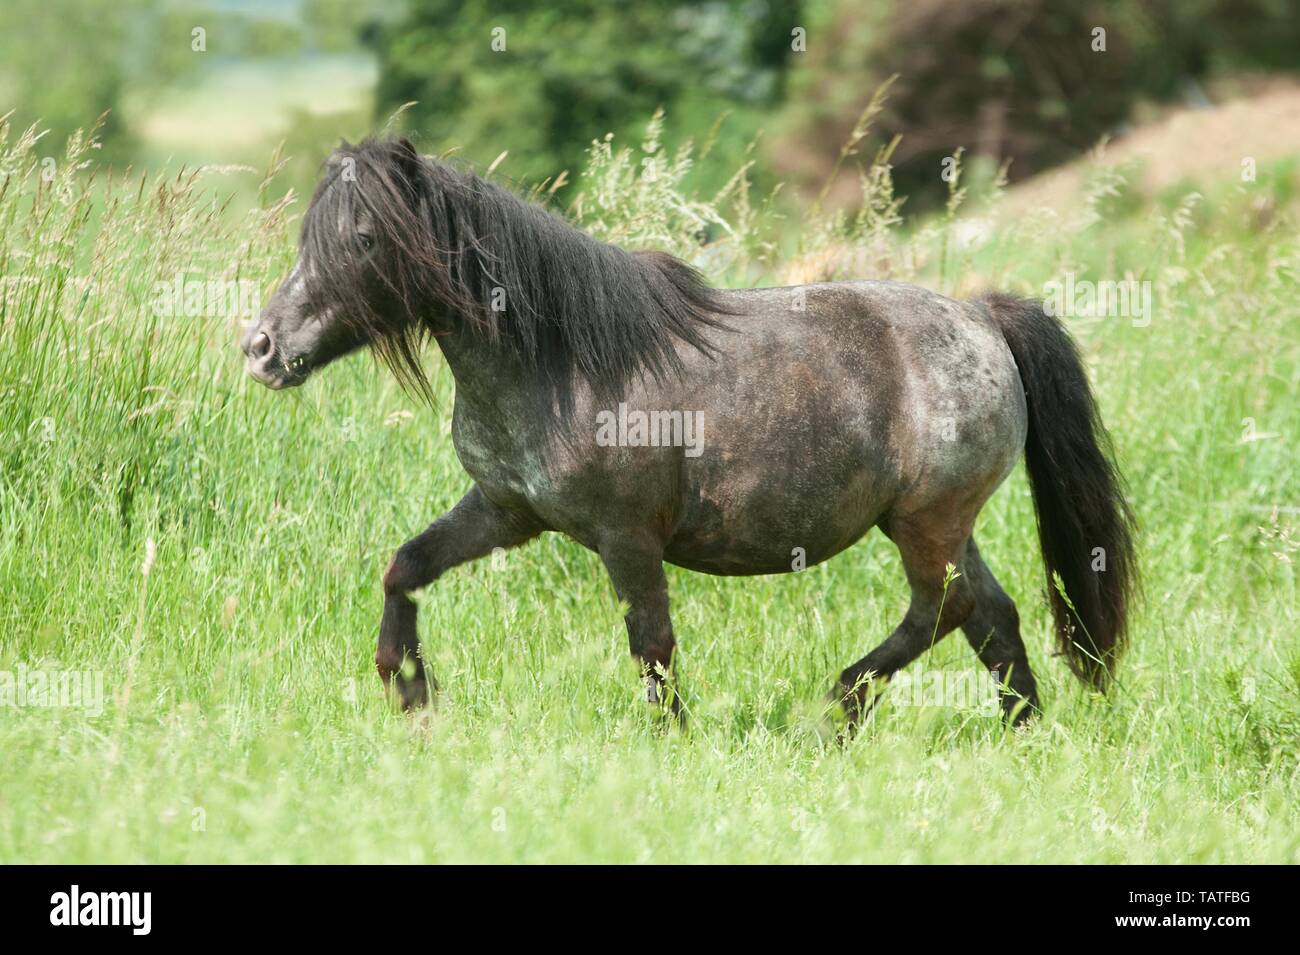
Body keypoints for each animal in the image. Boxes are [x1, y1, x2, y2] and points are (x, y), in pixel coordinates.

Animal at [240, 137, 1136, 727]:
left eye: (362, 238)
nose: (262, 348)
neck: (560, 358)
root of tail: (985, 318)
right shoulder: (506, 512)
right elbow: (406, 565)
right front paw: (409, 689)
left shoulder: (626, 537)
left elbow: (652, 643)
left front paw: (670, 736)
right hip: (940, 523)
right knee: (992, 614)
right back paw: (1020, 729)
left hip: (927, 522)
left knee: (944, 609)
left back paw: (840, 704)